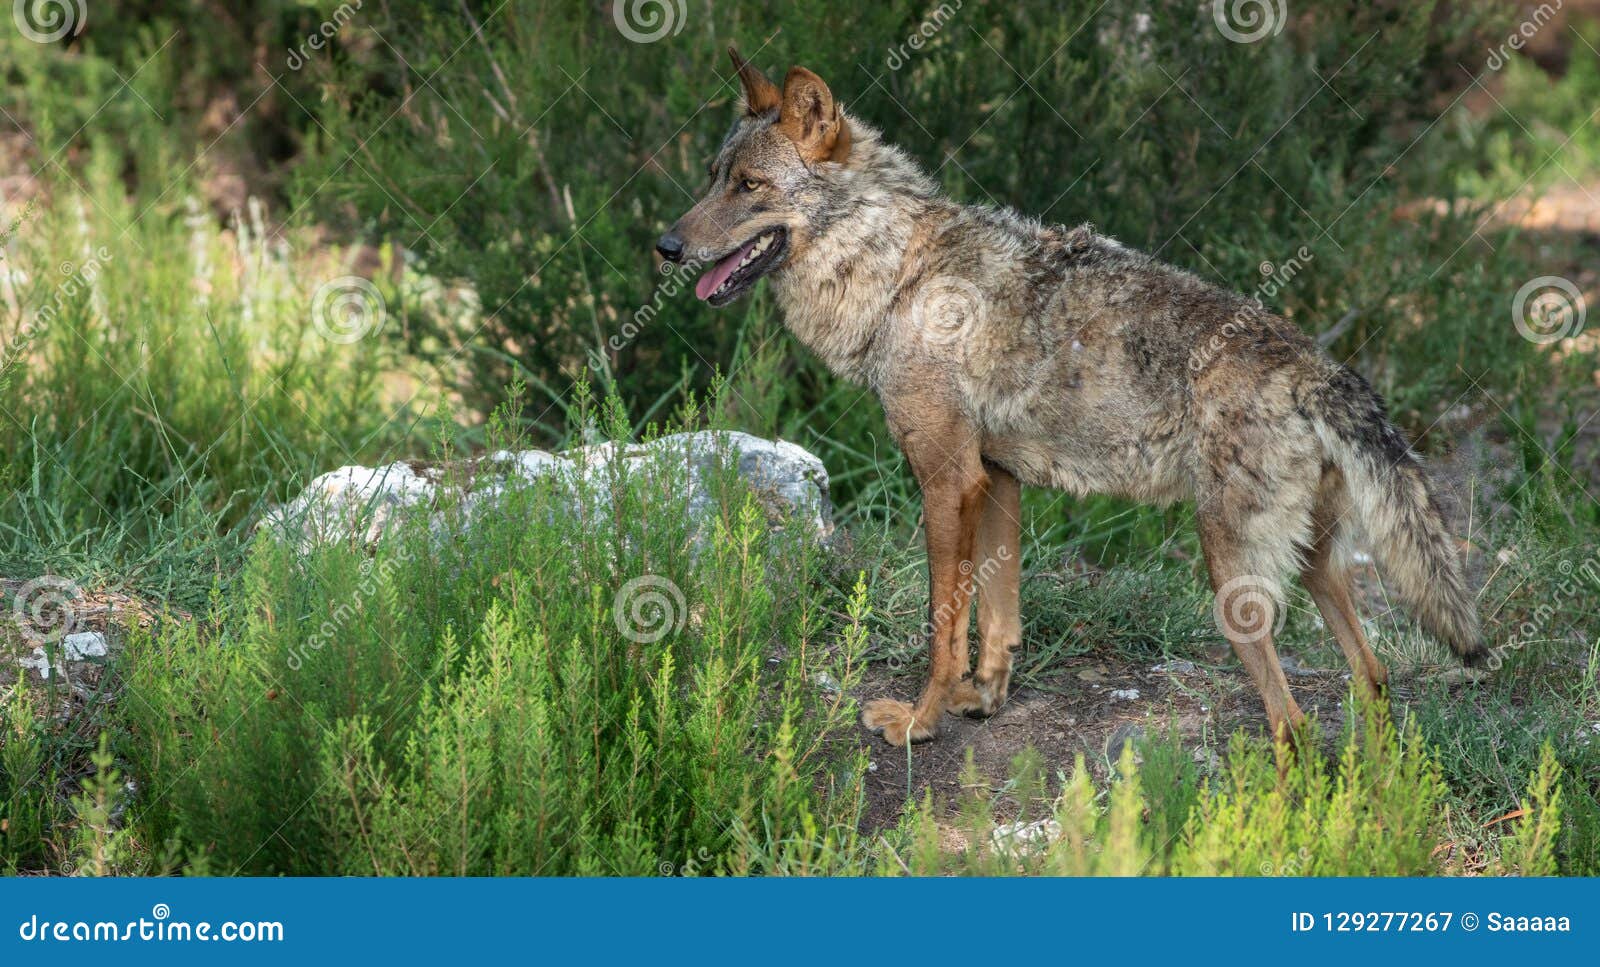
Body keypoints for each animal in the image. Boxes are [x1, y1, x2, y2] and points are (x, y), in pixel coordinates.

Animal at [657, 48, 1486, 748]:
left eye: (749, 187)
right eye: (713, 175)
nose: (666, 246)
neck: (898, 275)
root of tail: (1320, 369)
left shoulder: (947, 480)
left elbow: (942, 625)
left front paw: (920, 722)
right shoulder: (995, 478)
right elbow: (997, 618)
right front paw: (983, 700)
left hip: (1232, 582)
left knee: (1294, 725)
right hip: (1314, 568)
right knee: (1373, 678)